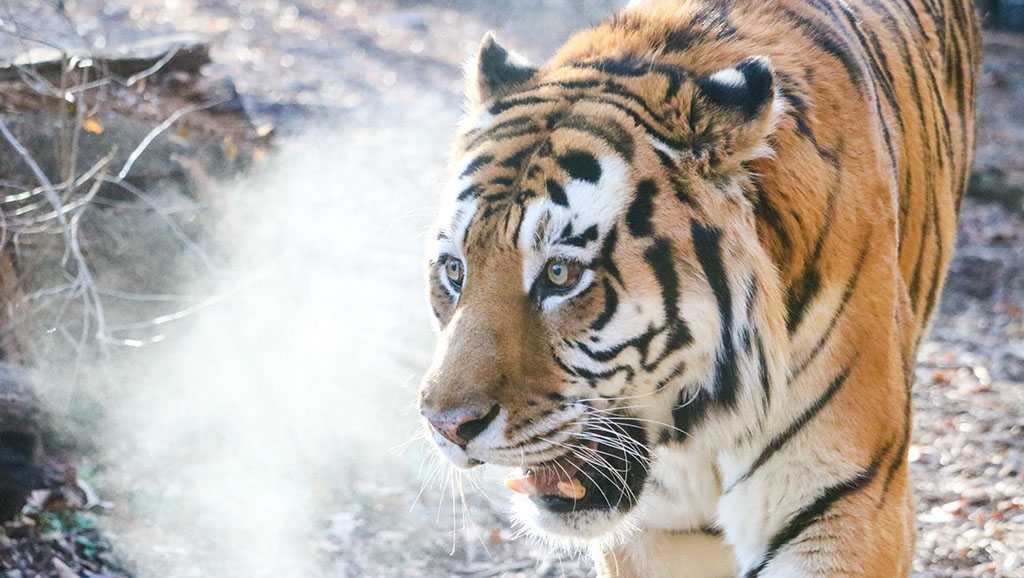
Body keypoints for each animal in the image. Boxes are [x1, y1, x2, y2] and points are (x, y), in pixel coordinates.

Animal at [416, 0, 979, 575]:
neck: (698, 425)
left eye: (560, 274)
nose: (446, 425)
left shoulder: (846, 512)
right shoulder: (660, 534)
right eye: (455, 270)